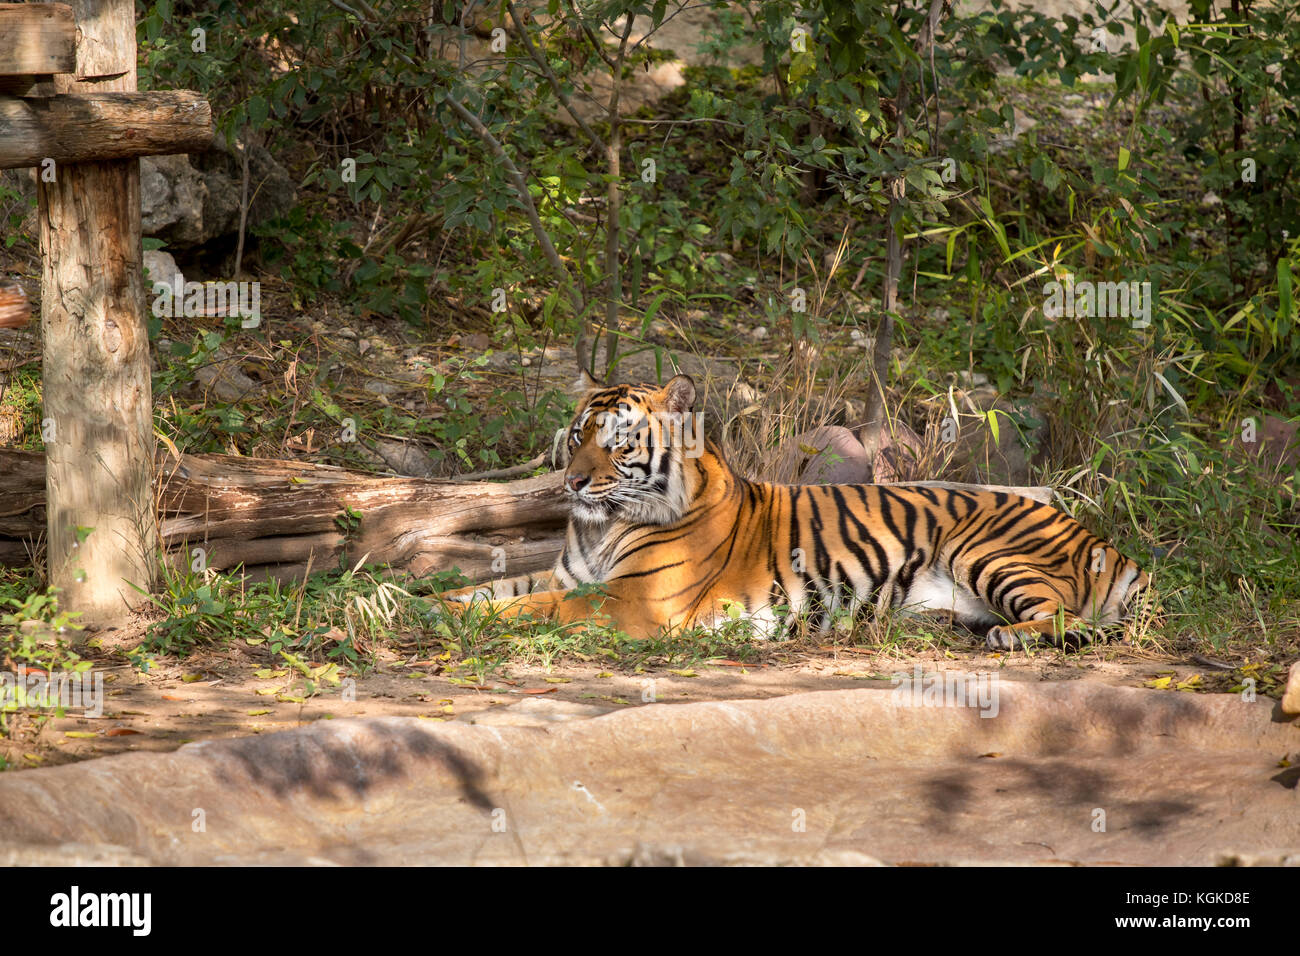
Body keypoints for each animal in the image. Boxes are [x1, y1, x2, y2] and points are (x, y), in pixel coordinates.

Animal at [438, 372, 1150, 650]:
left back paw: (1010, 636)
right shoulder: (568, 575)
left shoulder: (630, 600)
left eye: (617, 440)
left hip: (990, 551)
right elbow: (495, 589)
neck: (601, 527)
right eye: (577, 433)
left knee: (1076, 620)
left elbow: (535, 608)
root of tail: (1110, 545)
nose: (572, 481)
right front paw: (423, 603)